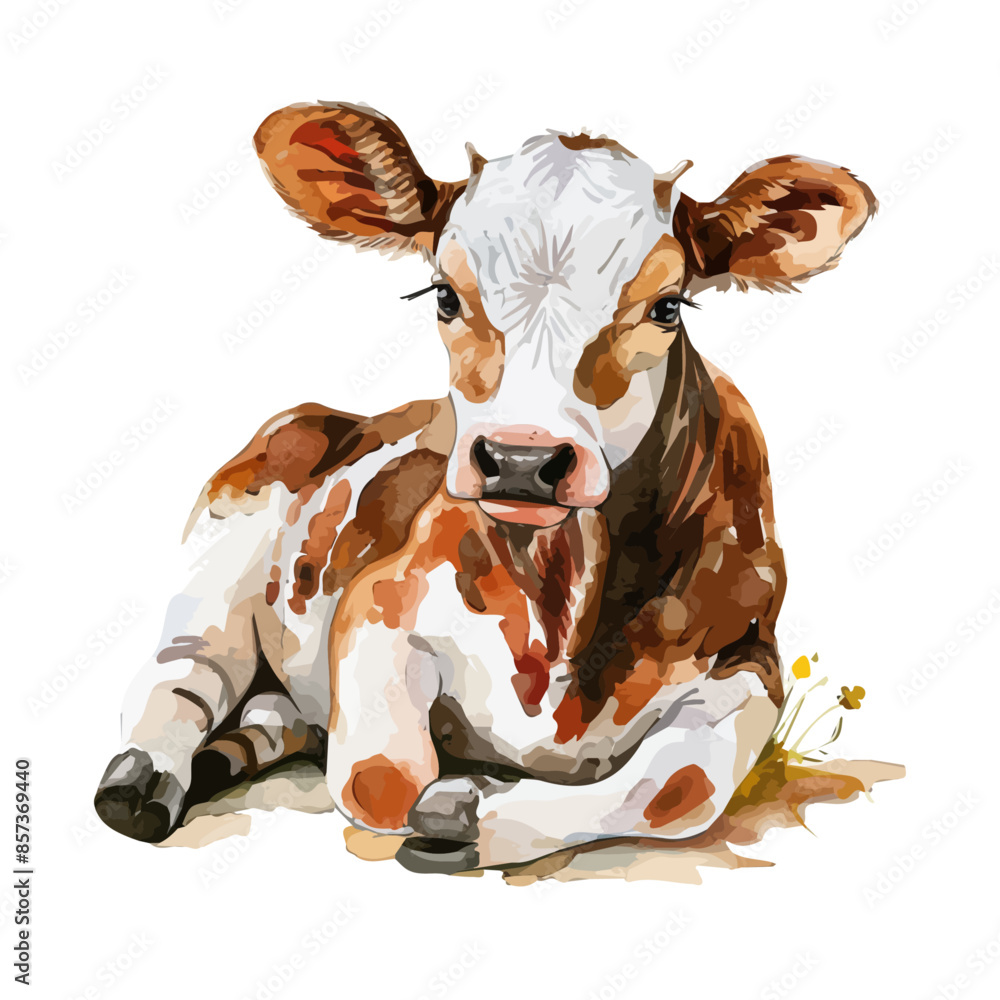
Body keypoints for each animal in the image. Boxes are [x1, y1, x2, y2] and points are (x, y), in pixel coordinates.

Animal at [94, 102, 876, 873]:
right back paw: (140, 781)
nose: (521, 460)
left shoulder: (748, 661)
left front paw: (470, 814)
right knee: (185, 670)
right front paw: (449, 799)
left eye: (667, 307)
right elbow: (380, 779)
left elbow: (677, 789)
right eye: (444, 296)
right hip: (225, 542)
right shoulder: (378, 602)